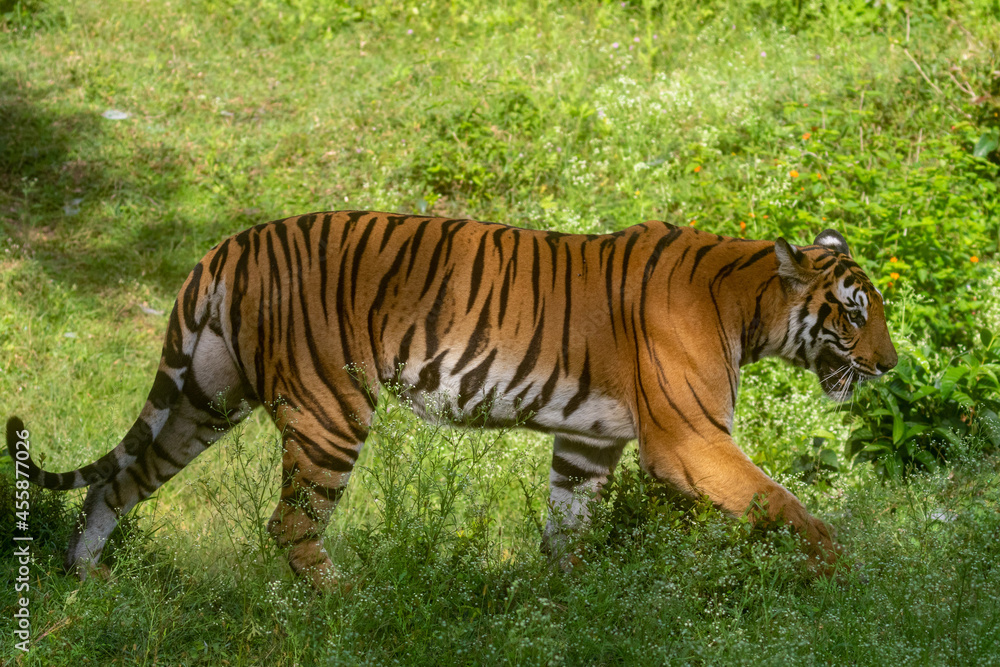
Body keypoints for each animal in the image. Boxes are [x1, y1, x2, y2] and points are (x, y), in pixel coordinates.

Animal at [6, 211, 897, 590]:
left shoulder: (587, 445)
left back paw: (86, 577)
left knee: (118, 480)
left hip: (206, 397)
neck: (751, 305)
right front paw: (841, 575)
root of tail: (232, 243)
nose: (888, 365)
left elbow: (566, 529)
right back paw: (344, 601)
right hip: (330, 409)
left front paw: (566, 600)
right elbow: (787, 505)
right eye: (855, 312)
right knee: (290, 523)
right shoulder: (689, 441)